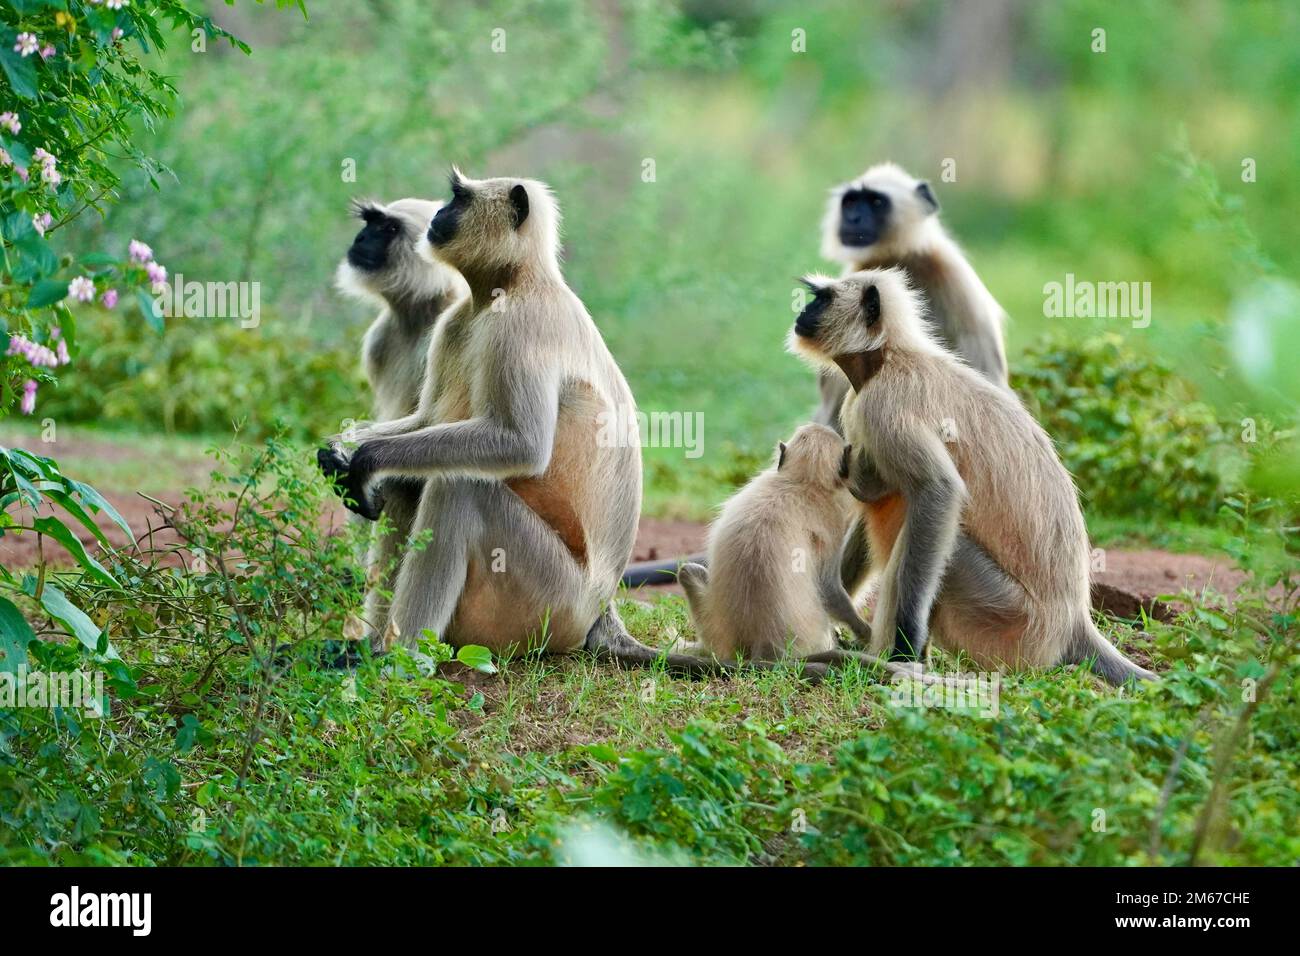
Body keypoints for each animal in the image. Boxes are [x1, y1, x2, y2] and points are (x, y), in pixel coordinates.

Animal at [317, 170, 817, 680]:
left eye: (457, 198)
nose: (438, 215)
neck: (511, 285)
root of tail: (599, 614)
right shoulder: (454, 322)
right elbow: (427, 421)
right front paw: (340, 452)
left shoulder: (520, 325)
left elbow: (519, 445)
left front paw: (363, 459)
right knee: (411, 480)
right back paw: (373, 646)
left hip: (545, 602)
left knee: (458, 487)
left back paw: (402, 661)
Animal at [788, 267, 1156, 686]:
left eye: (823, 298)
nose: (802, 313)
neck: (888, 358)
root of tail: (1073, 623)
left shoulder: (883, 404)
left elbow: (939, 491)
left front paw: (903, 644)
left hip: (1009, 619)